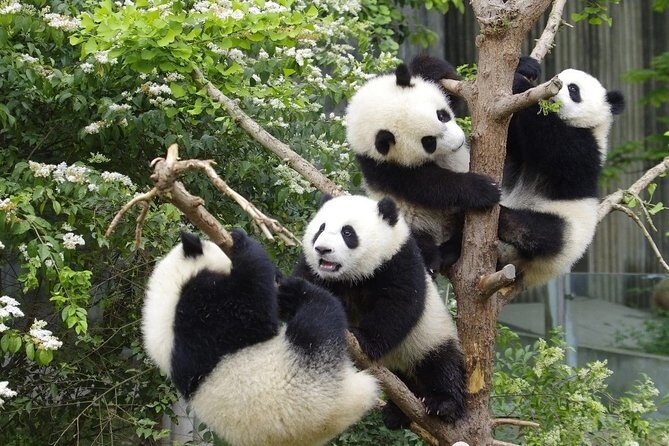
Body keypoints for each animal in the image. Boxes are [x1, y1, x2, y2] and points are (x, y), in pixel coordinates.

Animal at [142, 230, 379, 446]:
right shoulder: (200, 315)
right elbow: (254, 313)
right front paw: (244, 243)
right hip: (311, 373)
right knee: (318, 317)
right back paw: (303, 293)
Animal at [292, 195, 467, 428]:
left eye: (348, 233)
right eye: (321, 228)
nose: (322, 249)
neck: (351, 277)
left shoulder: (399, 262)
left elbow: (398, 307)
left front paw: (362, 339)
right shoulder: (315, 272)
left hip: (428, 338)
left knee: (441, 365)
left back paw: (442, 404)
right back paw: (396, 413)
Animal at [345, 55, 501, 272]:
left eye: (442, 115)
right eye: (429, 142)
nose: (460, 142)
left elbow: (445, 86)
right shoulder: (381, 167)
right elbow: (428, 185)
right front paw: (484, 189)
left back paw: (452, 249)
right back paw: (434, 258)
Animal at [497, 57, 625, 287]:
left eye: (573, 89)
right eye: (556, 78)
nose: (550, 87)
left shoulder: (587, 150)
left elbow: (557, 145)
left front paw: (521, 84)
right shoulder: (519, 149)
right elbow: (510, 139)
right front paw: (527, 67)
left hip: (569, 234)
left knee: (543, 233)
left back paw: (505, 220)